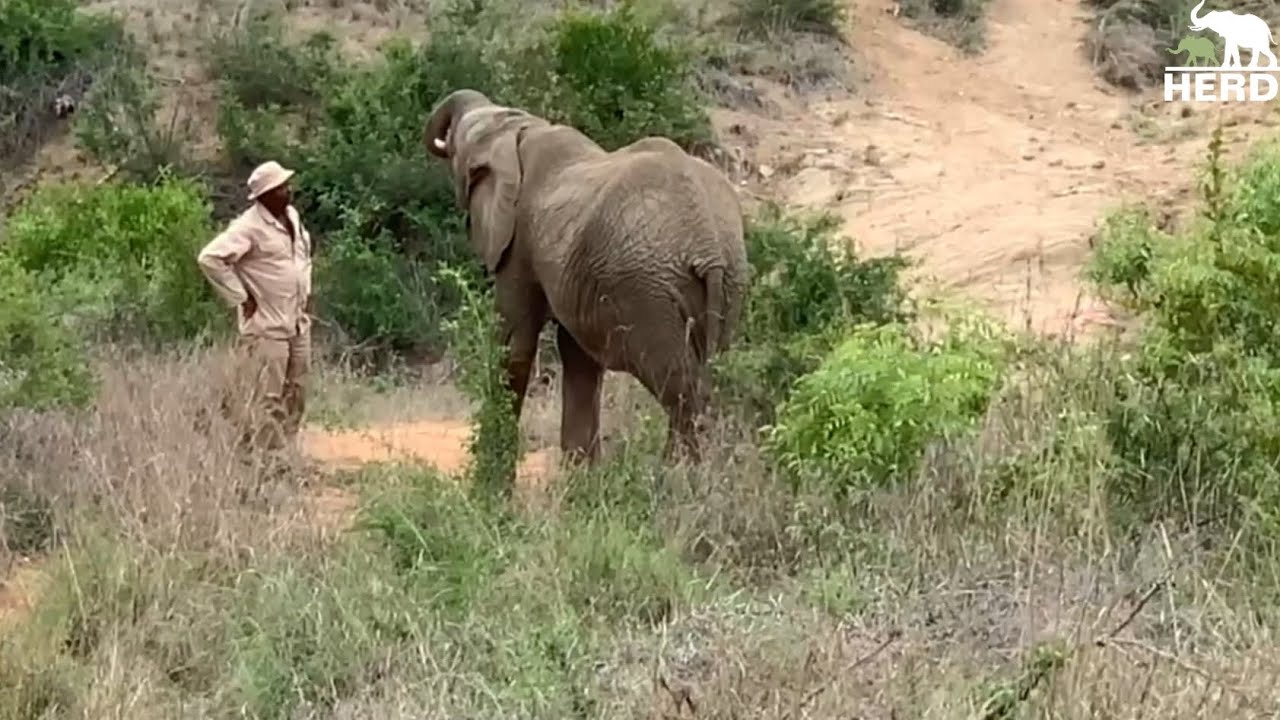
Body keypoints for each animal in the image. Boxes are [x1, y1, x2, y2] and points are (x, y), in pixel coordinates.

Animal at [422, 89, 750, 467]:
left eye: (456, 148)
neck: (519, 127)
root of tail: (707, 242)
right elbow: (577, 358)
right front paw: (581, 477)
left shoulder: (519, 245)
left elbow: (514, 346)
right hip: (727, 284)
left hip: (648, 294)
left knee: (679, 391)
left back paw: (676, 474)